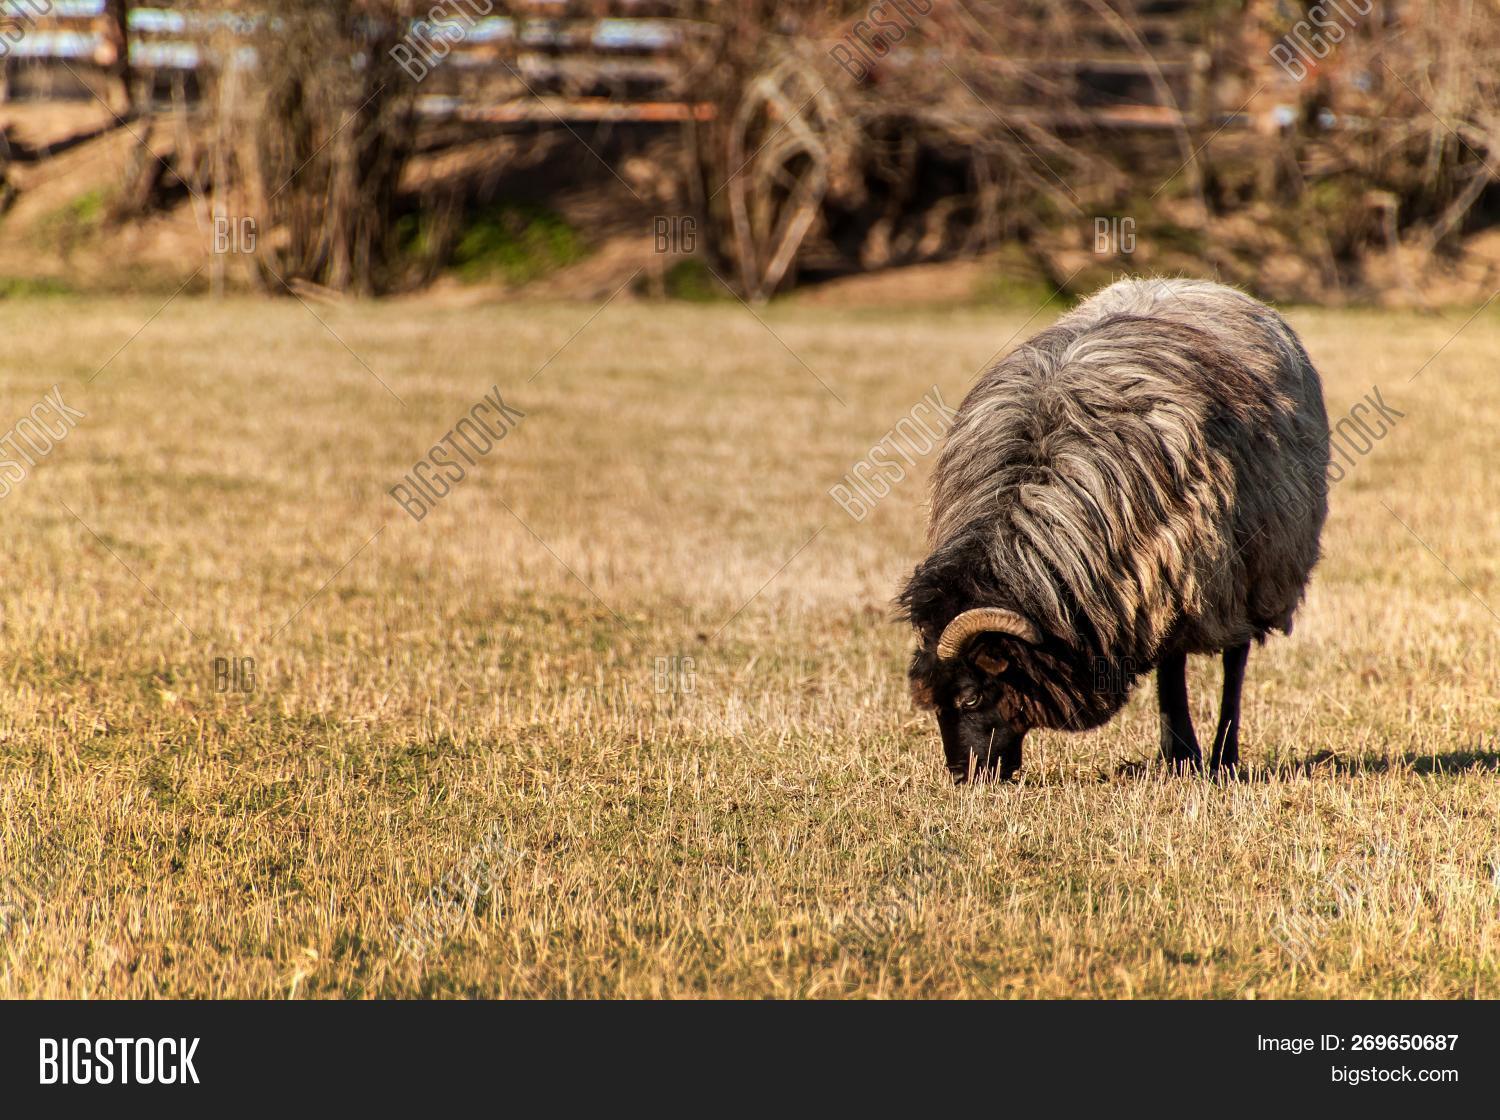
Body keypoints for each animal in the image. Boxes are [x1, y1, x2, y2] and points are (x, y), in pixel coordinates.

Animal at [898, 277, 1330, 783]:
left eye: (971, 697)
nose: (963, 776)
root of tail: (1203, 284)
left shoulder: (1176, 573)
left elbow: (1177, 666)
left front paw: (1185, 757)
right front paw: (1177, 755)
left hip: (1254, 570)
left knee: (1233, 658)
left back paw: (1221, 756)